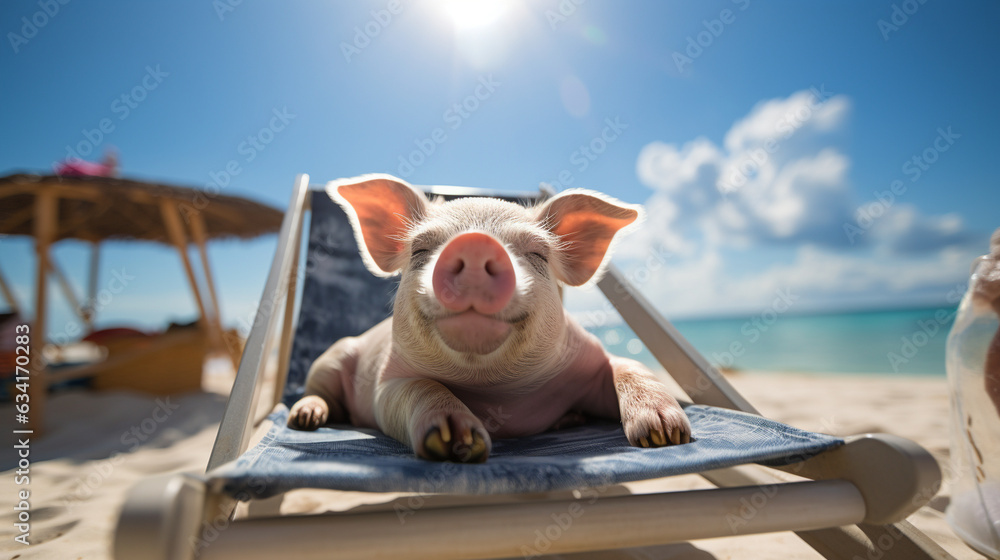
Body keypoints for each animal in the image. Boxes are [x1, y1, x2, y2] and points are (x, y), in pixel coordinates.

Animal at [287, 174, 691, 462]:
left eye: (538, 254)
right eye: (419, 250)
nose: (475, 242)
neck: (500, 394)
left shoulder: (591, 361)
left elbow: (630, 366)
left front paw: (666, 435)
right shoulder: (385, 386)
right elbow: (421, 388)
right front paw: (456, 442)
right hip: (331, 358)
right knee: (318, 394)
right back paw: (305, 418)